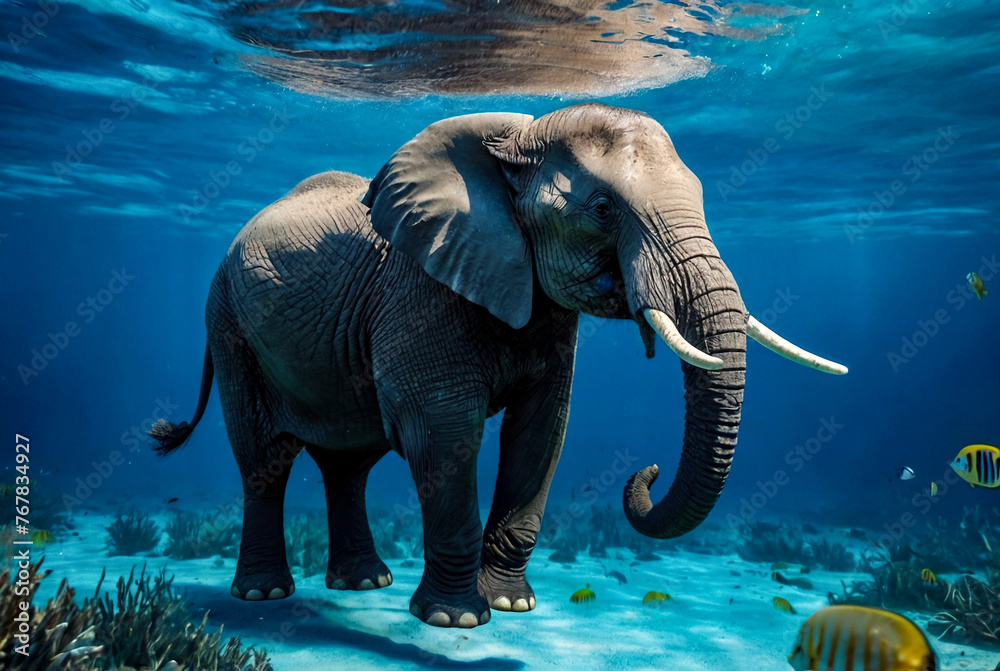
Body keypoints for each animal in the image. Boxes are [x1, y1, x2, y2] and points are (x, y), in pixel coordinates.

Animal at [149, 103, 846, 629]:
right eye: (602, 209)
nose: (645, 471)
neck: (519, 141)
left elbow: (541, 429)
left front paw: (512, 606)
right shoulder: (420, 292)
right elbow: (445, 432)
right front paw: (456, 620)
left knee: (348, 464)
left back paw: (365, 585)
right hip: (228, 326)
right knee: (263, 459)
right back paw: (265, 596)